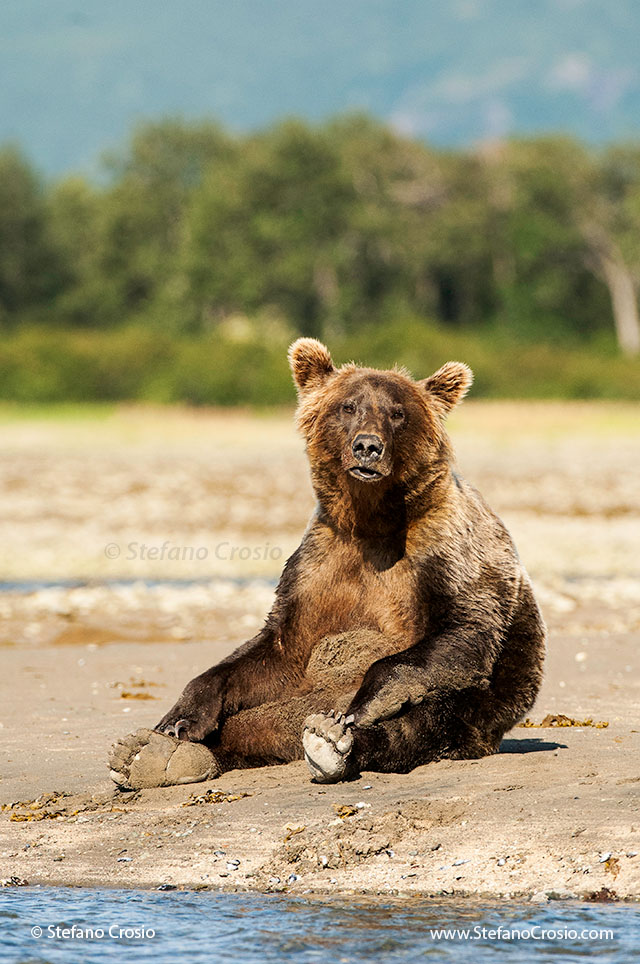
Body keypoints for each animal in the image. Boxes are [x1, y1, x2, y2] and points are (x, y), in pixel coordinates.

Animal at [109, 338, 546, 788]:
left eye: (398, 412)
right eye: (348, 406)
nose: (368, 446)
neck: (372, 525)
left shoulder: (447, 557)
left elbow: (462, 630)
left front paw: (367, 704)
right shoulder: (319, 569)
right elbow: (273, 650)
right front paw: (177, 721)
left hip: (484, 701)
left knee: (427, 722)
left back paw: (332, 740)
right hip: (292, 700)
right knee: (250, 724)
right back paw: (154, 755)